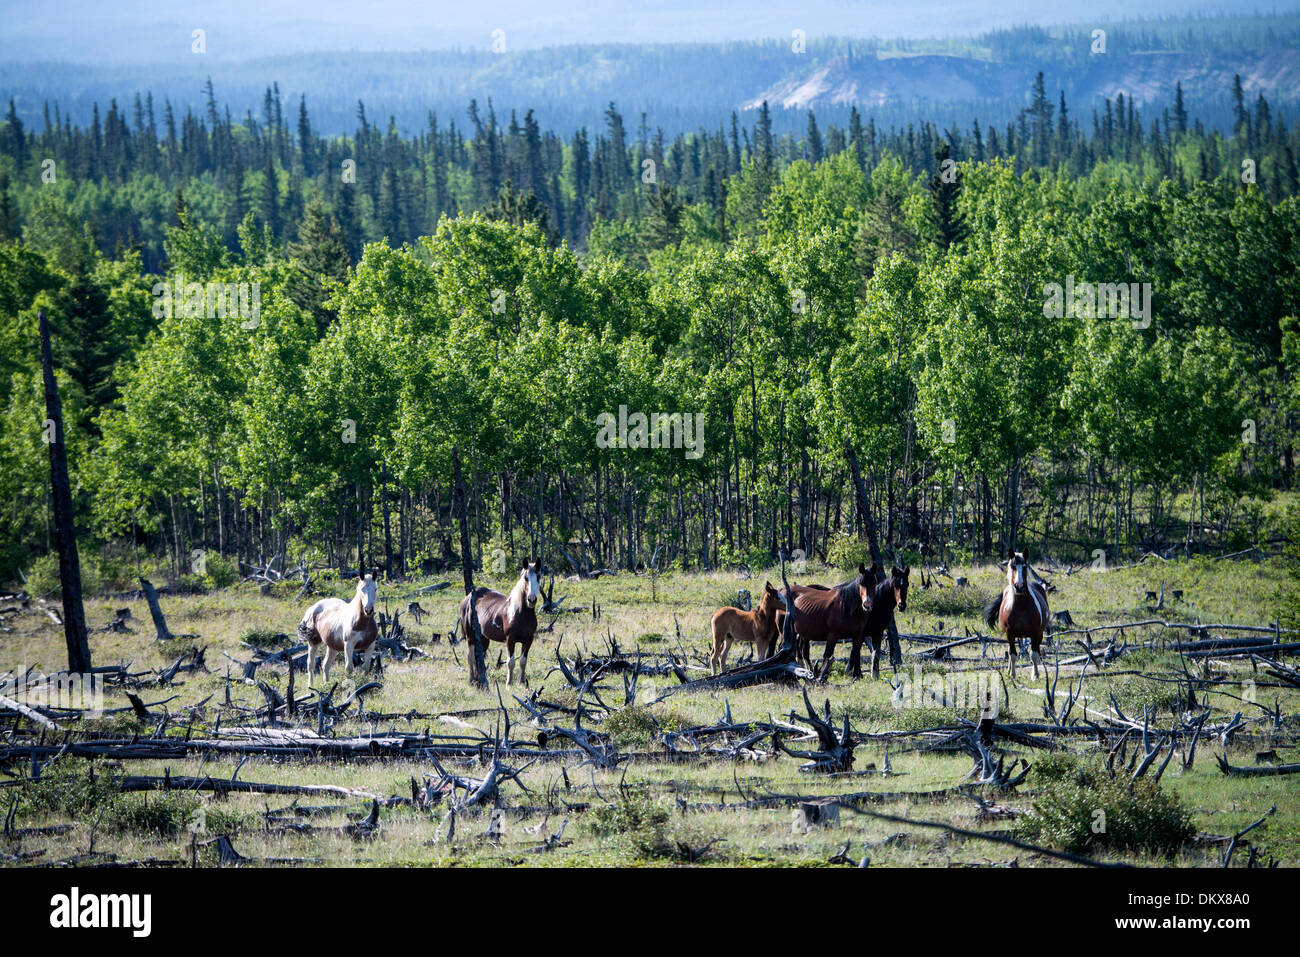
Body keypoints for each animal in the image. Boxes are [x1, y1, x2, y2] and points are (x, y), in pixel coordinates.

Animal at [983, 552, 1049, 680]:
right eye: (1012, 566)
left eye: (1024, 566)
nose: (1019, 586)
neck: (1021, 606)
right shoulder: (1010, 633)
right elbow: (1013, 654)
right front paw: (1012, 674)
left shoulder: (1035, 633)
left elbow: (1033, 655)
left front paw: (1035, 675)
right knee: (1010, 650)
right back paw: (1009, 670)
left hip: (1039, 634)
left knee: (1036, 651)